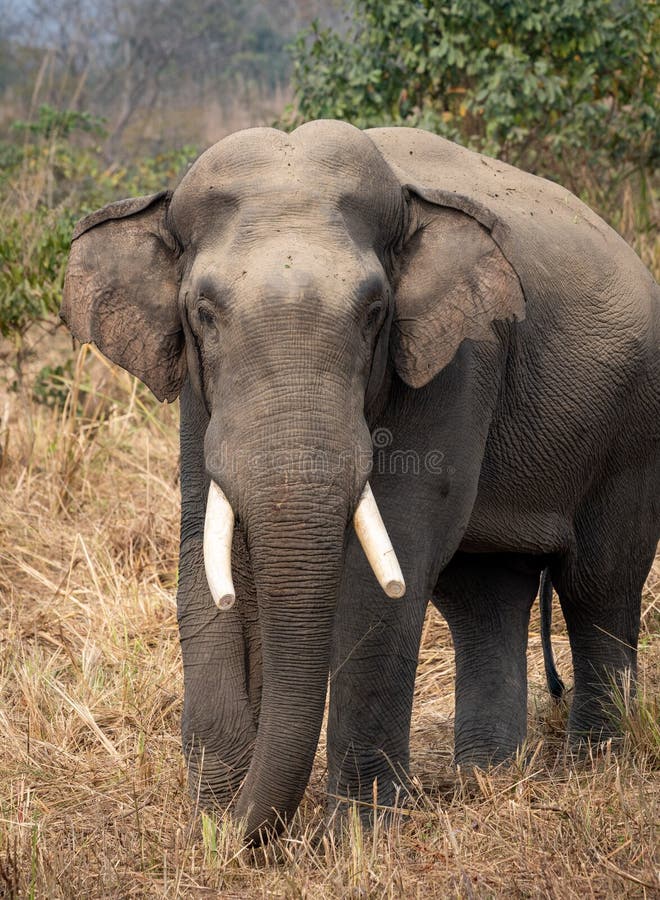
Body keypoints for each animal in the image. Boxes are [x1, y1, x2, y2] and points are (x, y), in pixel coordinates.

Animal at [60, 120, 660, 841]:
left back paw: (595, 765)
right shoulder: (200, 394)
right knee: (485, 594)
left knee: (599, 582)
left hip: (633, 428)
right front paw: (213, 817)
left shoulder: (458, 357)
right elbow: (203, 550)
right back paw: (486, 777)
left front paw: (357, 832)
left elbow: (388, 567)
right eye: (203, 313)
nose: (239, 827)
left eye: (374, 311)